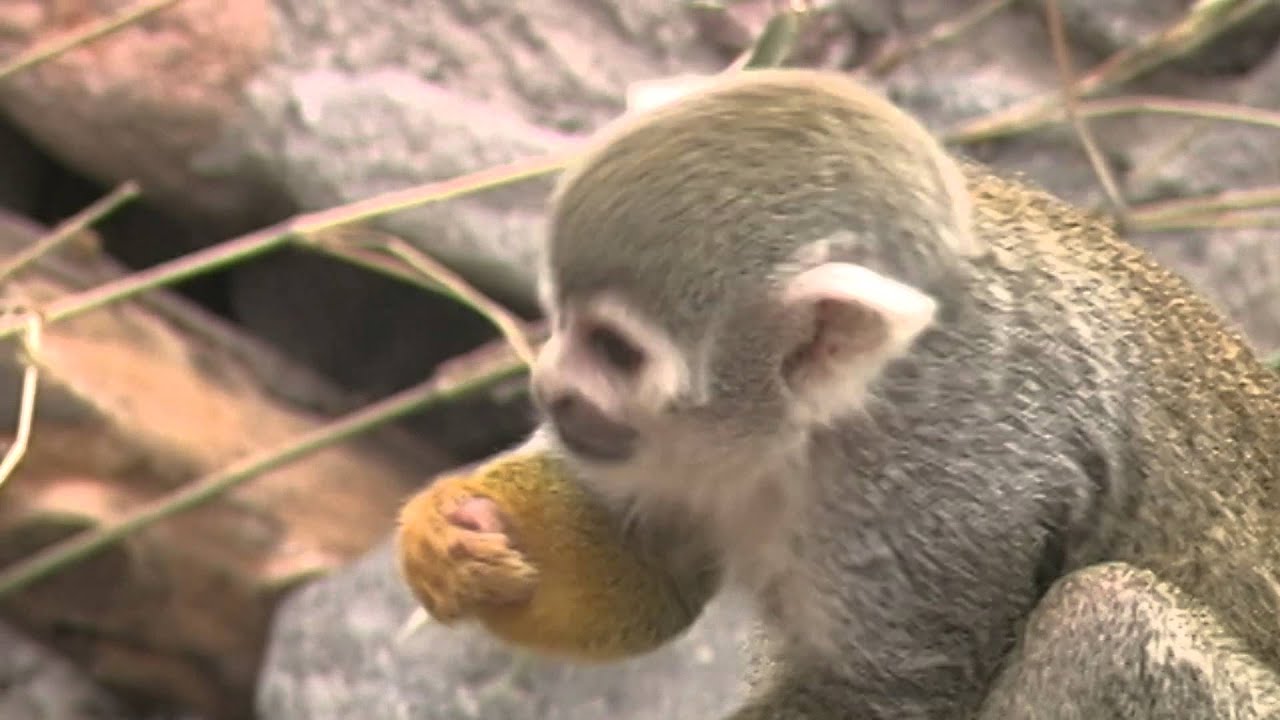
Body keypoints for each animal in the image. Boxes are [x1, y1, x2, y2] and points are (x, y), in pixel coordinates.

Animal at [397, 67, 1280, 718]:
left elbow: (893, 693)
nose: (548, 387)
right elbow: (657, 574)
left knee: (1105, 617)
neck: (810, 425)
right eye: (562, 318)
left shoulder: (942, 492)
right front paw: (456, 532)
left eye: (615, 351)